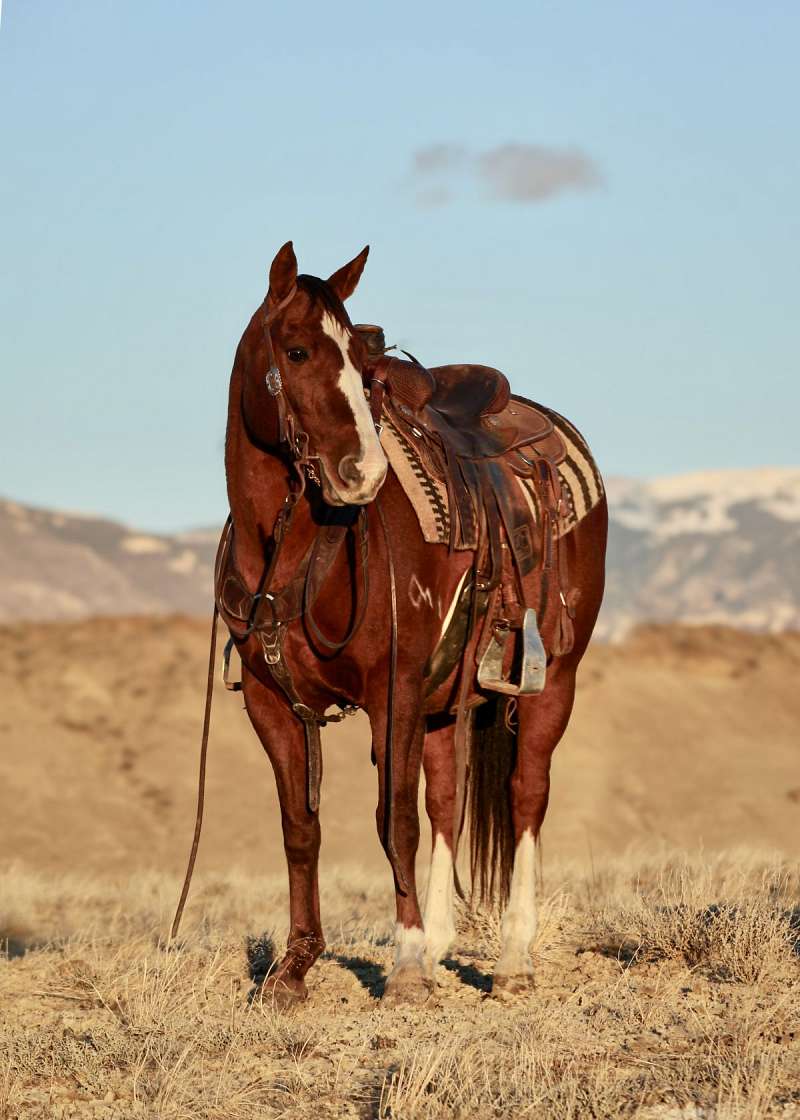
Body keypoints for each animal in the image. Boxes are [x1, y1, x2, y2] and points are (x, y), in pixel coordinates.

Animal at [214, 240, 607, 1007]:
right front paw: (293, 968)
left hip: (554, 681)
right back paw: (442, 942)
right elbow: (301, 828)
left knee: (526, 797)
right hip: (444, 702)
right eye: (297, 351)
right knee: (448, 801)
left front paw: (404, 970)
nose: (360, 473)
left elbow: (392, 821)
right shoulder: (273, 704)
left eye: (360, 363)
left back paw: (512, 961)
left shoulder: (390, 690)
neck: (300, 547)